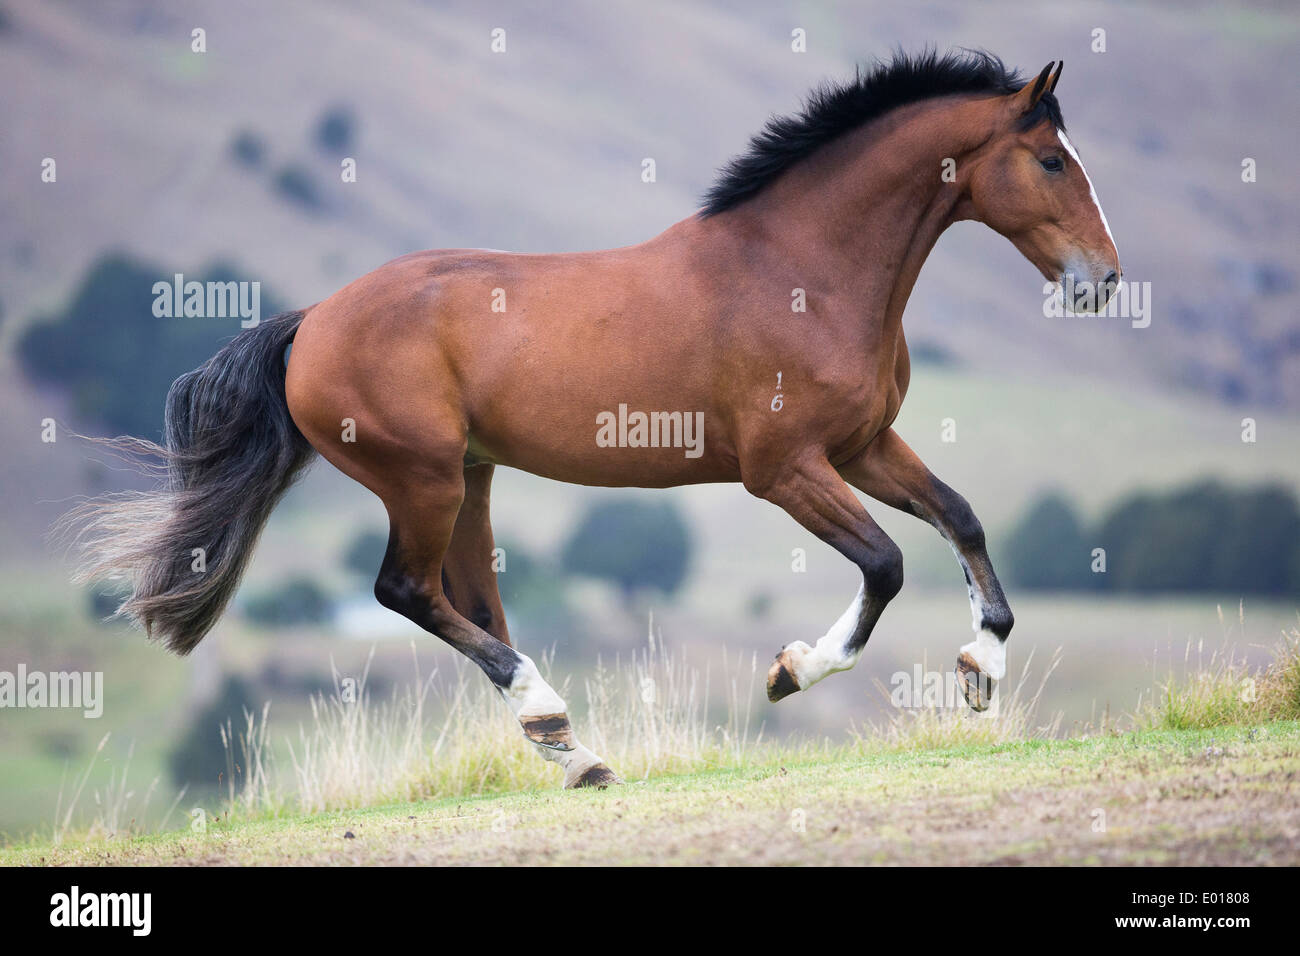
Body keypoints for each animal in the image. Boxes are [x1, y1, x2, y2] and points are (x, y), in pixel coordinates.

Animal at [67, 50, 1120, 789]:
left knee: (469, 600)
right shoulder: (785, 470)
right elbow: (886, 565)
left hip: (471, 478)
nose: (1104, 282)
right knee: (406, 592)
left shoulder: (863, 448)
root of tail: (314, 321)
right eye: (1050, 159)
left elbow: (961, 518)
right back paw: (551, 718)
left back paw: (574, 752)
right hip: (422, 478)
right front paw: (789, 672)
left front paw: (980, 666)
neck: (801, 273)